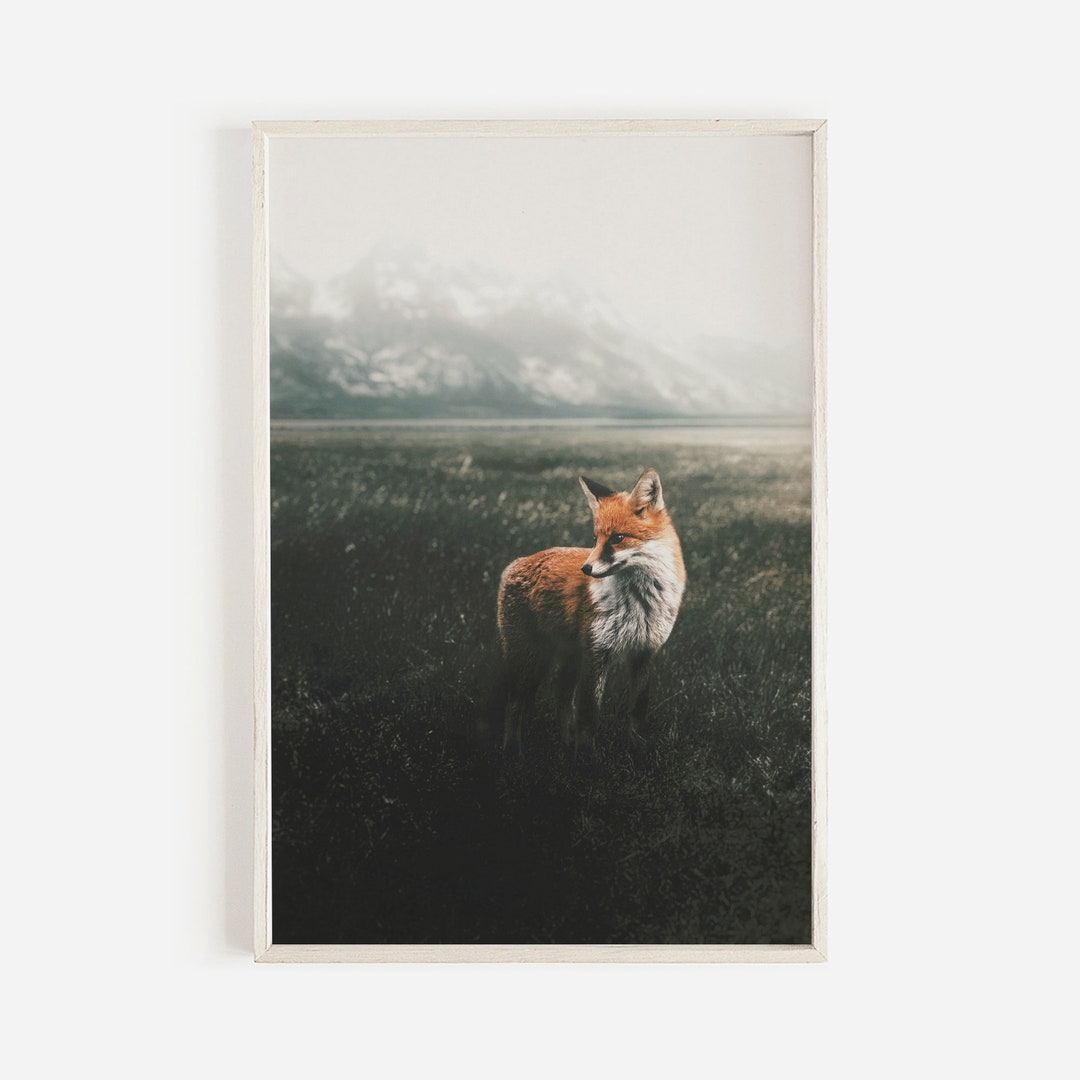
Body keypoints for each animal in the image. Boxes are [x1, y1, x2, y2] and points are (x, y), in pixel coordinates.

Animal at [495, 467, 686, 752]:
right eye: (595, 539)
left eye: (618, 538)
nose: (586, 569)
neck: (639, 602)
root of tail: (516, 563)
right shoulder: (597, 652)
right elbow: (588, 715)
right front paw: (586, 758)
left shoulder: (645, 650)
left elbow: (638, 711)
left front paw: (637, 749)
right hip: (530, 660)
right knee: (514, 706)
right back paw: (512, 751)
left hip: (569, 659)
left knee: (561, 700)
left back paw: (565, 745)